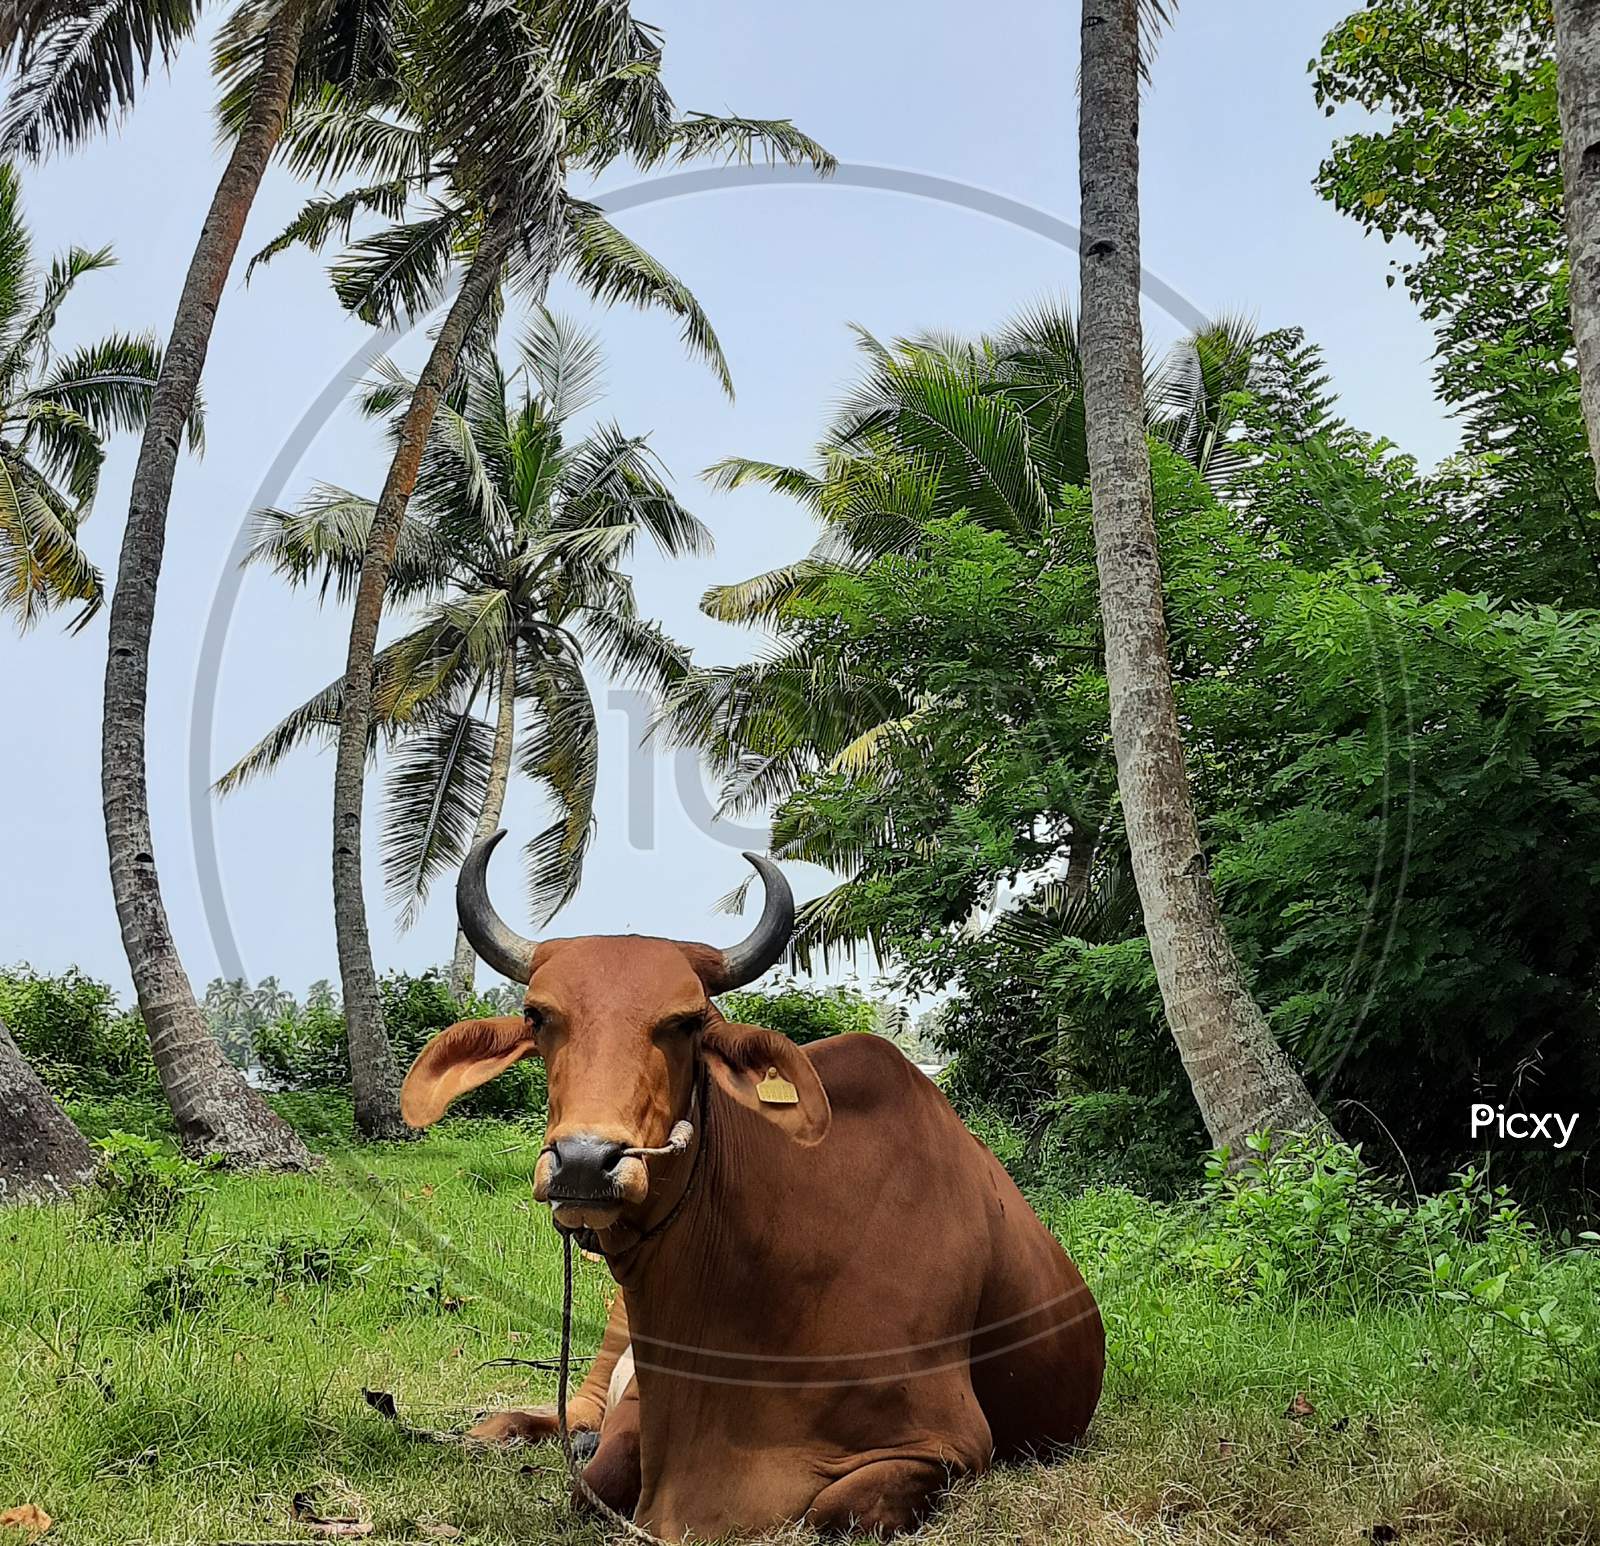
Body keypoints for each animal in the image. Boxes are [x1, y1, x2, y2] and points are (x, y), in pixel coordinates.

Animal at [401, 832, 1104, 1539]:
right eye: (538, 1016)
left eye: (686, 1022)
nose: (583, 1162)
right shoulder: (644, 1406)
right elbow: (589, 1485)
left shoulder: (948, 1444)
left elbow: (832, 1509)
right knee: (574, 1411)